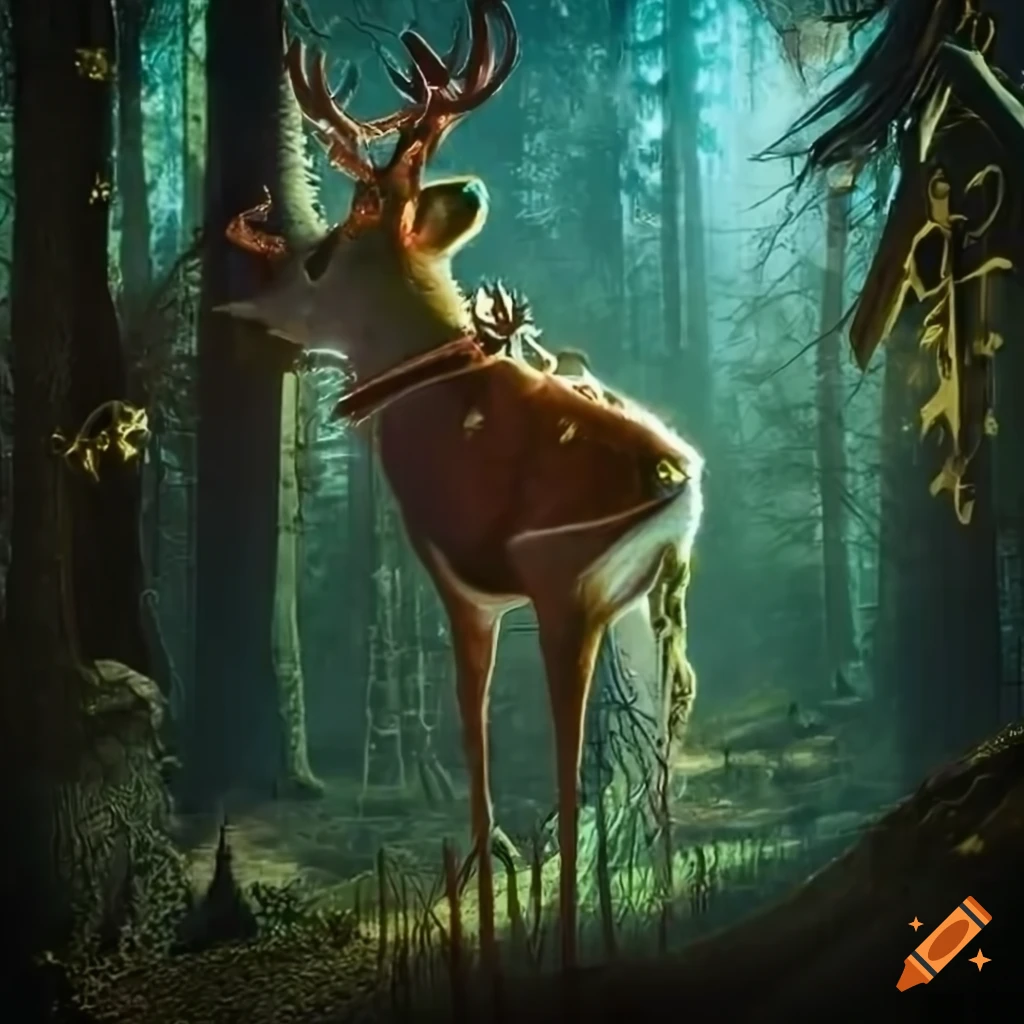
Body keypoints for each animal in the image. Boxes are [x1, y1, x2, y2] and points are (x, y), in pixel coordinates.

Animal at [218, 0, 704, 972]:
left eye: (320, 258)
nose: (241, 306)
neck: (428, 392)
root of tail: (680, 480)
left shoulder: (459, 579)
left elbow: (475, 747)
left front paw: (479, 919)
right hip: (650, 605)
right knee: (661, 760)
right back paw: (657, 924)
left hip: (568, 588)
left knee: (574, 768)